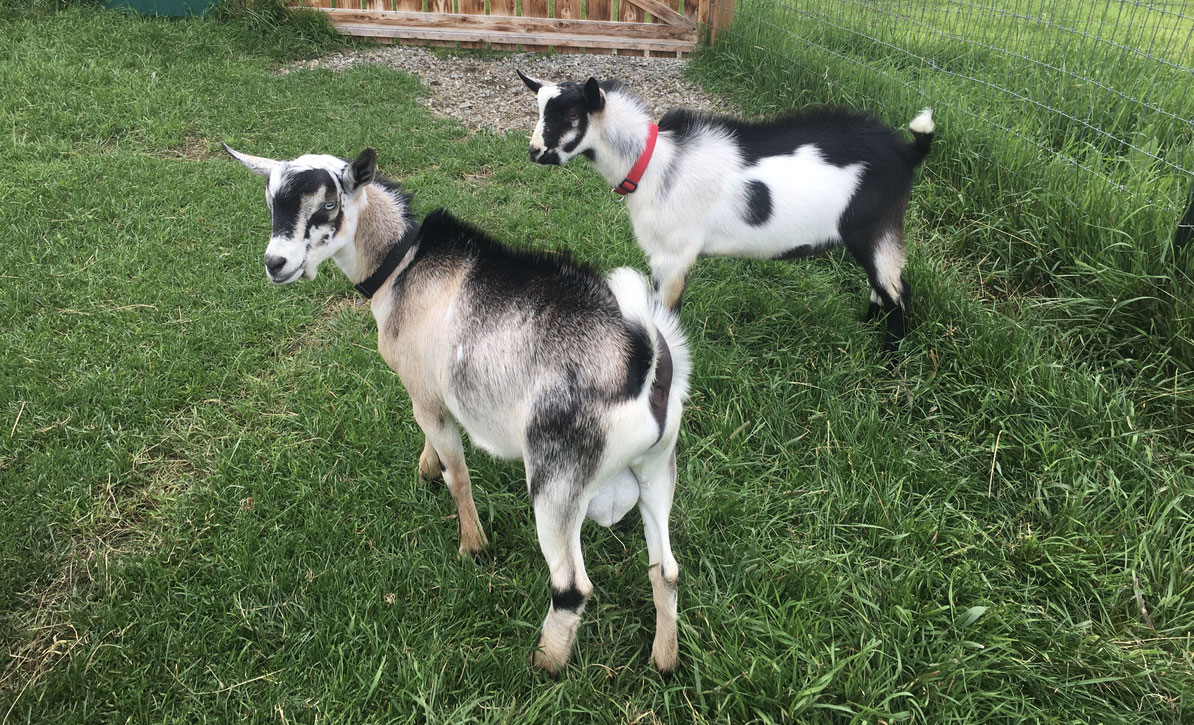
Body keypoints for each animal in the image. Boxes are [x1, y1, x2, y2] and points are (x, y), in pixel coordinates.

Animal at [223, 144, 691, 674]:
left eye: (327, 204)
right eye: (270, 201)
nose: (275, 263)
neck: (404, 264)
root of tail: (644, 359)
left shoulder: (425, 394)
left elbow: (457, 472)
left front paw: (471, 543)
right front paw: (426, 467)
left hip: (558, 479)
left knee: (571, 585)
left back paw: (543, 663)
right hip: (658, 466)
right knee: (666, 570)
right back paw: (664, 659)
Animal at [517, 71, 935, 349]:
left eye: (572, 116)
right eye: (539, 110)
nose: (535, 152)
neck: (656, 163)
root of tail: (907, 153)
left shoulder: (674, 255)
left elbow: (664, 311)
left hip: (874, 225)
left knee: (897, 290)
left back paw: (888, 357)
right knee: (884, 285)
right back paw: (867, 328)